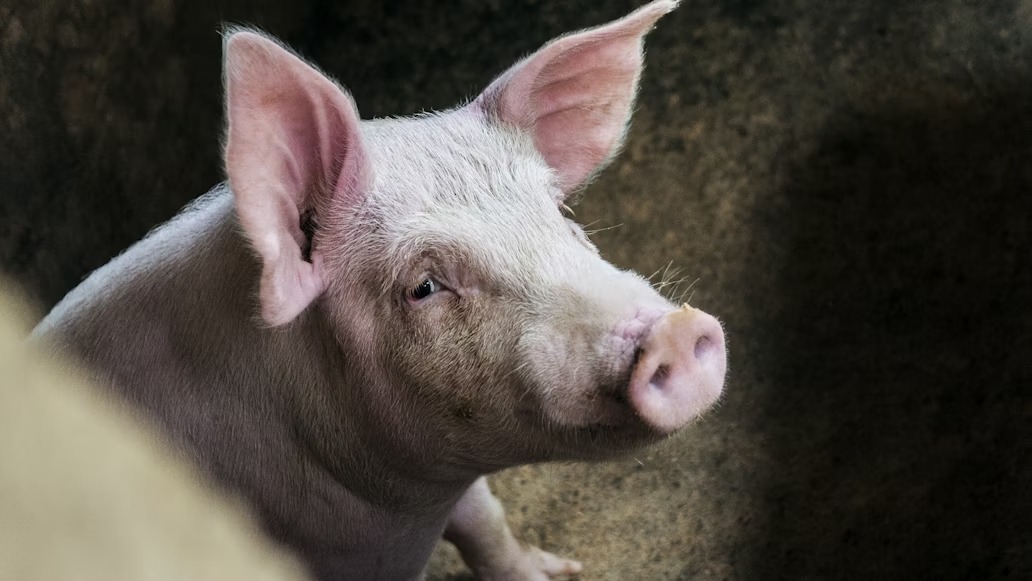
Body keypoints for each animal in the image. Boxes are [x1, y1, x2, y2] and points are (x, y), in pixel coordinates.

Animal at [32, 0, 726, 579]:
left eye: (560, 213)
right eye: (423, 286)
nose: (676, 330)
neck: (403, 511)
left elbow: (486, 520)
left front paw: (562, 572)